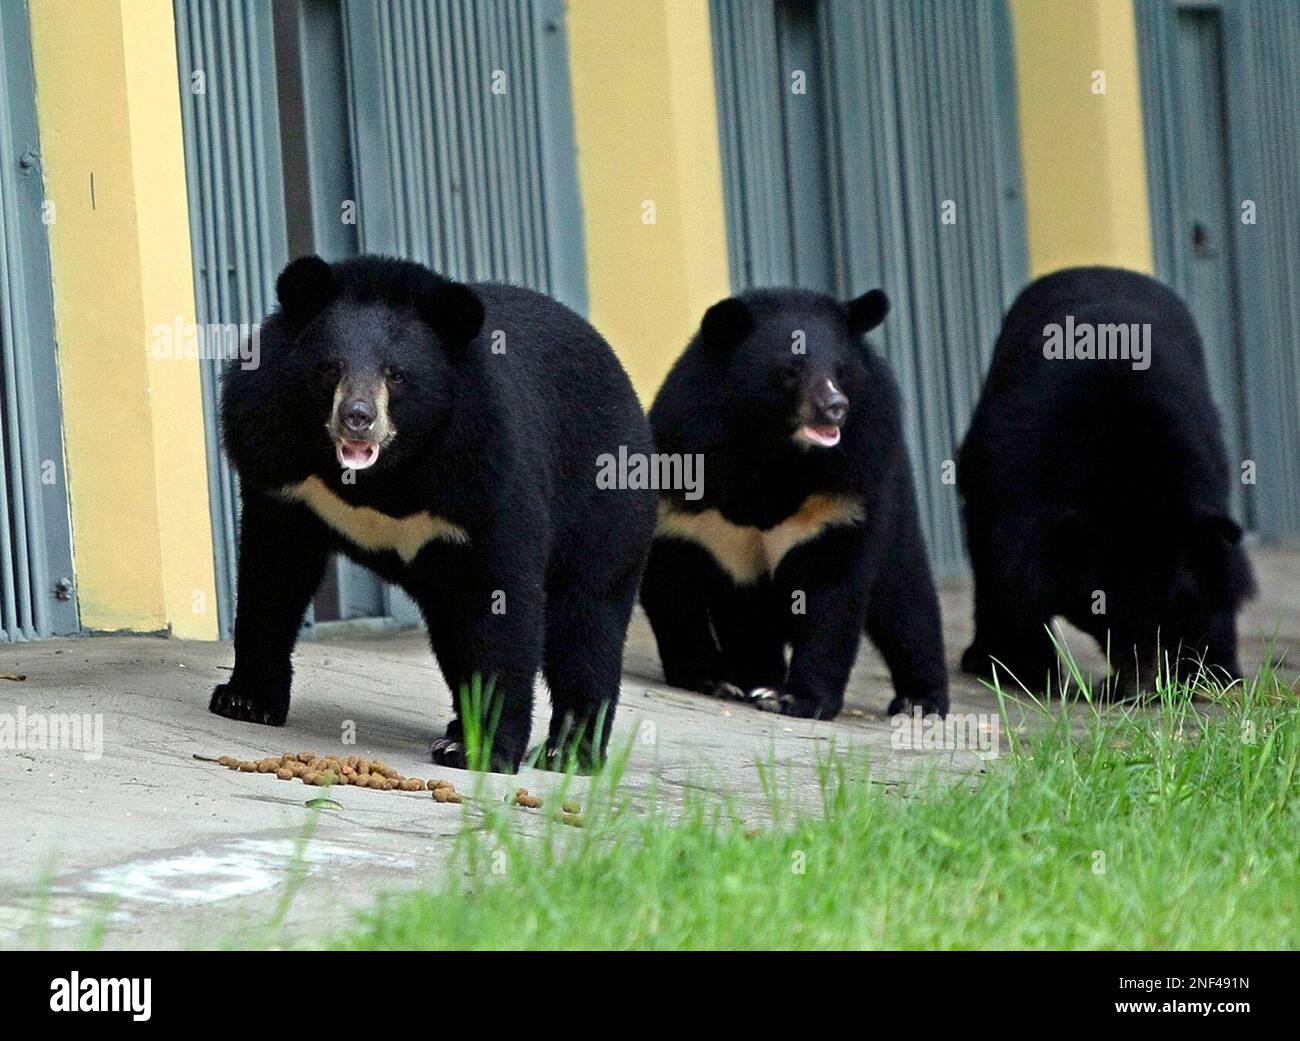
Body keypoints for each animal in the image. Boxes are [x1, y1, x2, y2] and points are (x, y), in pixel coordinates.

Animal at [211, 254, 658, 772]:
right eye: (331, 368)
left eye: (396, 374)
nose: (357, 417)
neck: (383, 475)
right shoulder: (279, 462)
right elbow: (272, 578)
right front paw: (244, 700)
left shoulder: (485, 467)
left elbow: (502, 603)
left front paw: (483, 749)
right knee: (455, 636)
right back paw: (460, 727)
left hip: (605, 502)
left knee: (587, 618)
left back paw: (568, 752)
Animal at [639, 287, 950, 720]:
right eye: (791, 370)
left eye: (840, 370)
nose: (835, 407)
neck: (777, 453)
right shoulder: (687, 474)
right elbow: (671, 581)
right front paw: (713, 679)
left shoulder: (846, 487)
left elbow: (832, 592)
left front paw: (799, 699)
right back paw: (759, 678)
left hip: (897, 499)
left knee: (906, 601)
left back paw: (920, 700)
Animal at [957, 266, 1255, 696]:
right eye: (1102, 613)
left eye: (1173, 610)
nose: (1144, 690)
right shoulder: (1011, 477)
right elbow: (1011, 571)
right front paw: (1028, 672)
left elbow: (1214, 576)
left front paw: (1213, 673)